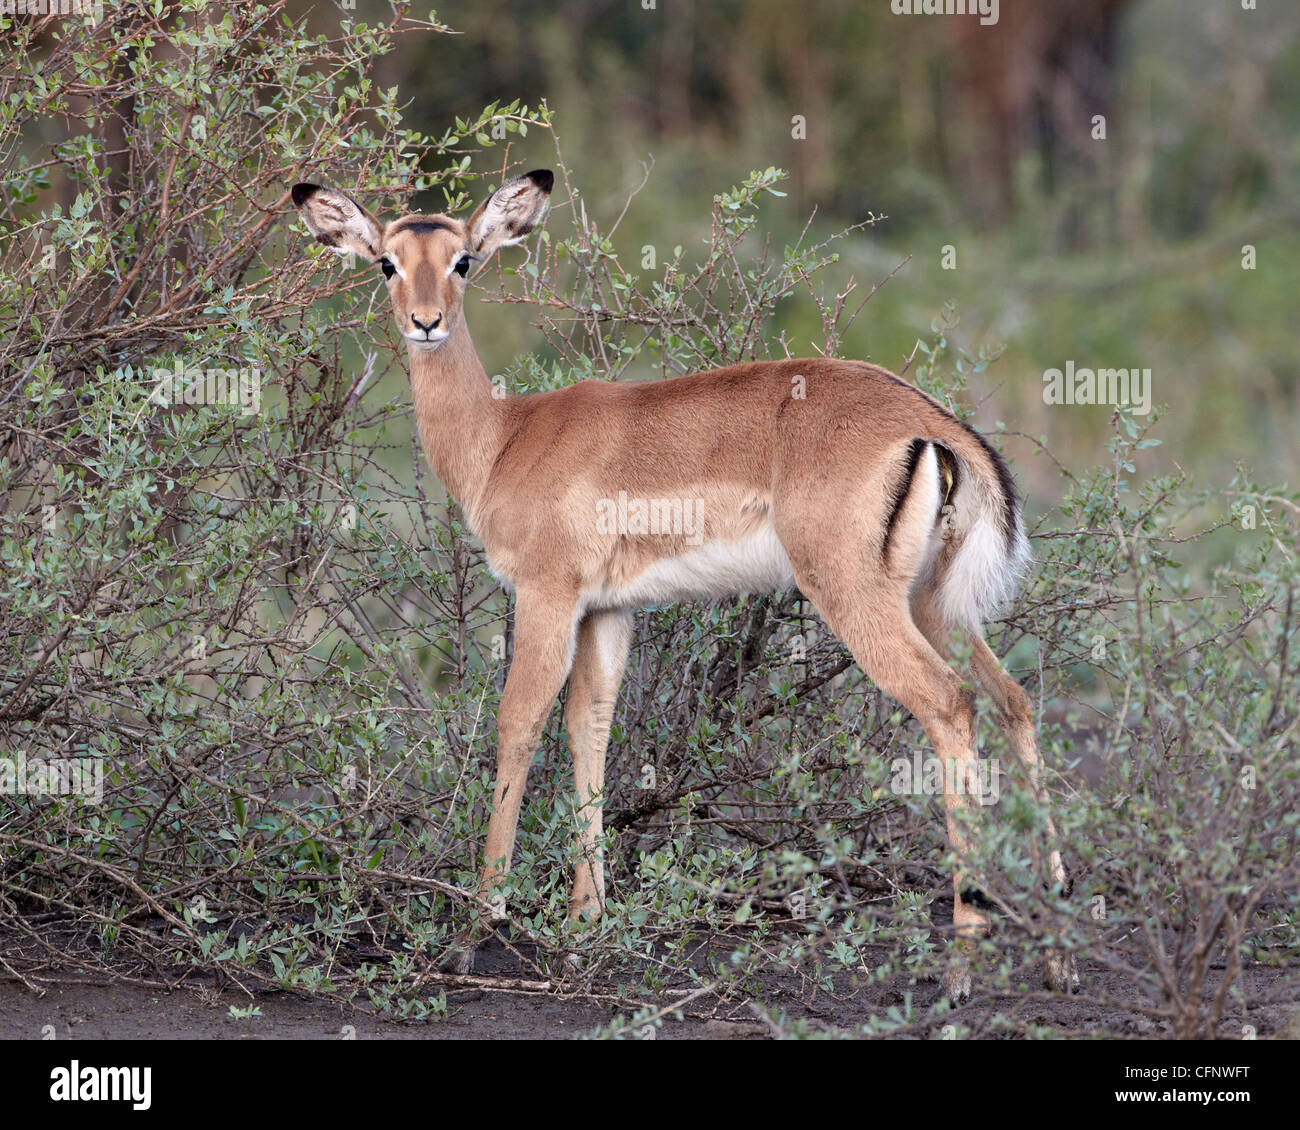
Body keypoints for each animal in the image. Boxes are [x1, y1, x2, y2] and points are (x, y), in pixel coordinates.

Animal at [291, 169, 1077, 1000]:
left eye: (464, 260)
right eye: (387, 262)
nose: (425, 323)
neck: (504, 439)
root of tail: (933, 424)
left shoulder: (546, 594)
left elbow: (518, 724)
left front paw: (476, 931)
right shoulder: (606, 612)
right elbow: (590, 729)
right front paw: (584, 930)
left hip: (858, 600)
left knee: (951, 705)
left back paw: (962, 964)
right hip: (937, 606)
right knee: (1014, 703)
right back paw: (1058, 950)